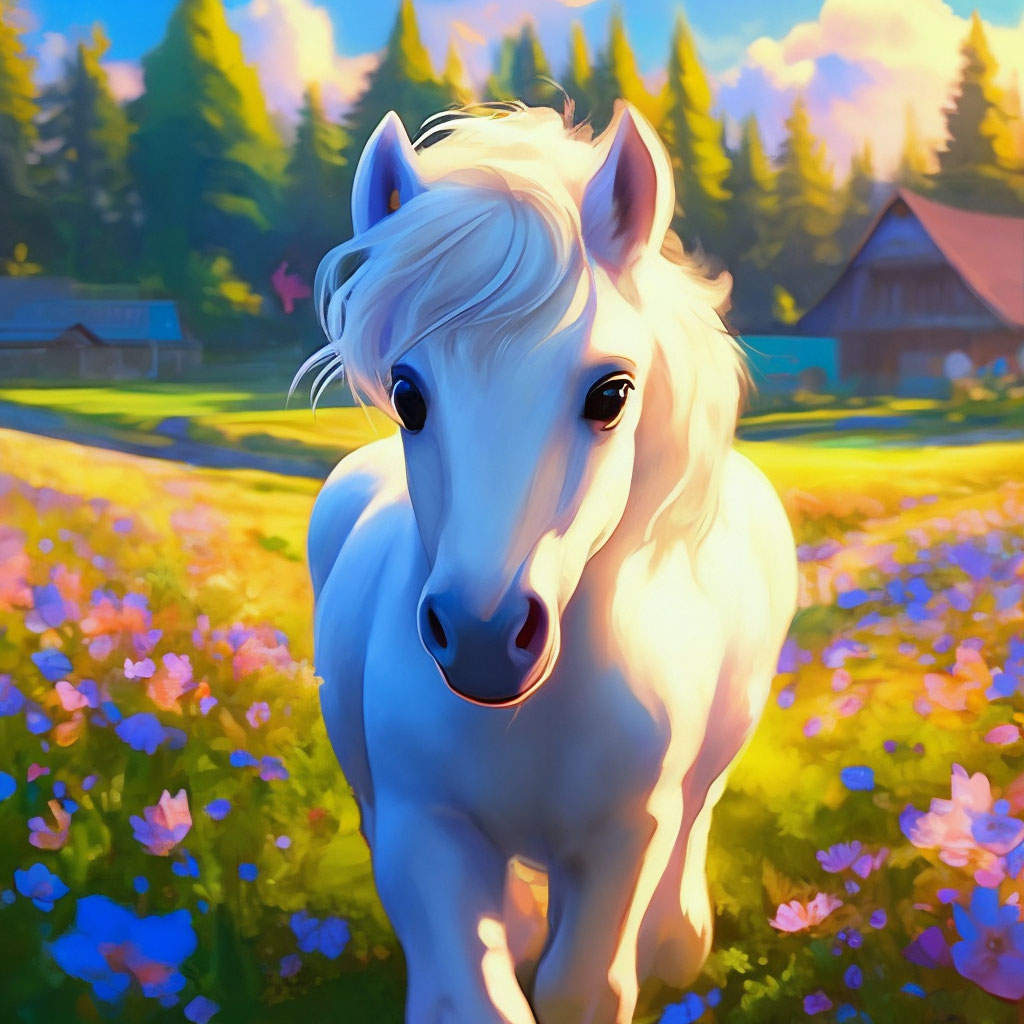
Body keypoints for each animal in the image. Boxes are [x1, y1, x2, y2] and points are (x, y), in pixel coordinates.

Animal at [299, 98, 797, 1024]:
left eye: (612, 392)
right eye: (407, 395)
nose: (482, 638)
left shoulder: (625, 836)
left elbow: (583, 987)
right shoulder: (424, 830)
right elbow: (476, 999)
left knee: (699, 815)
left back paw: (678, 945)